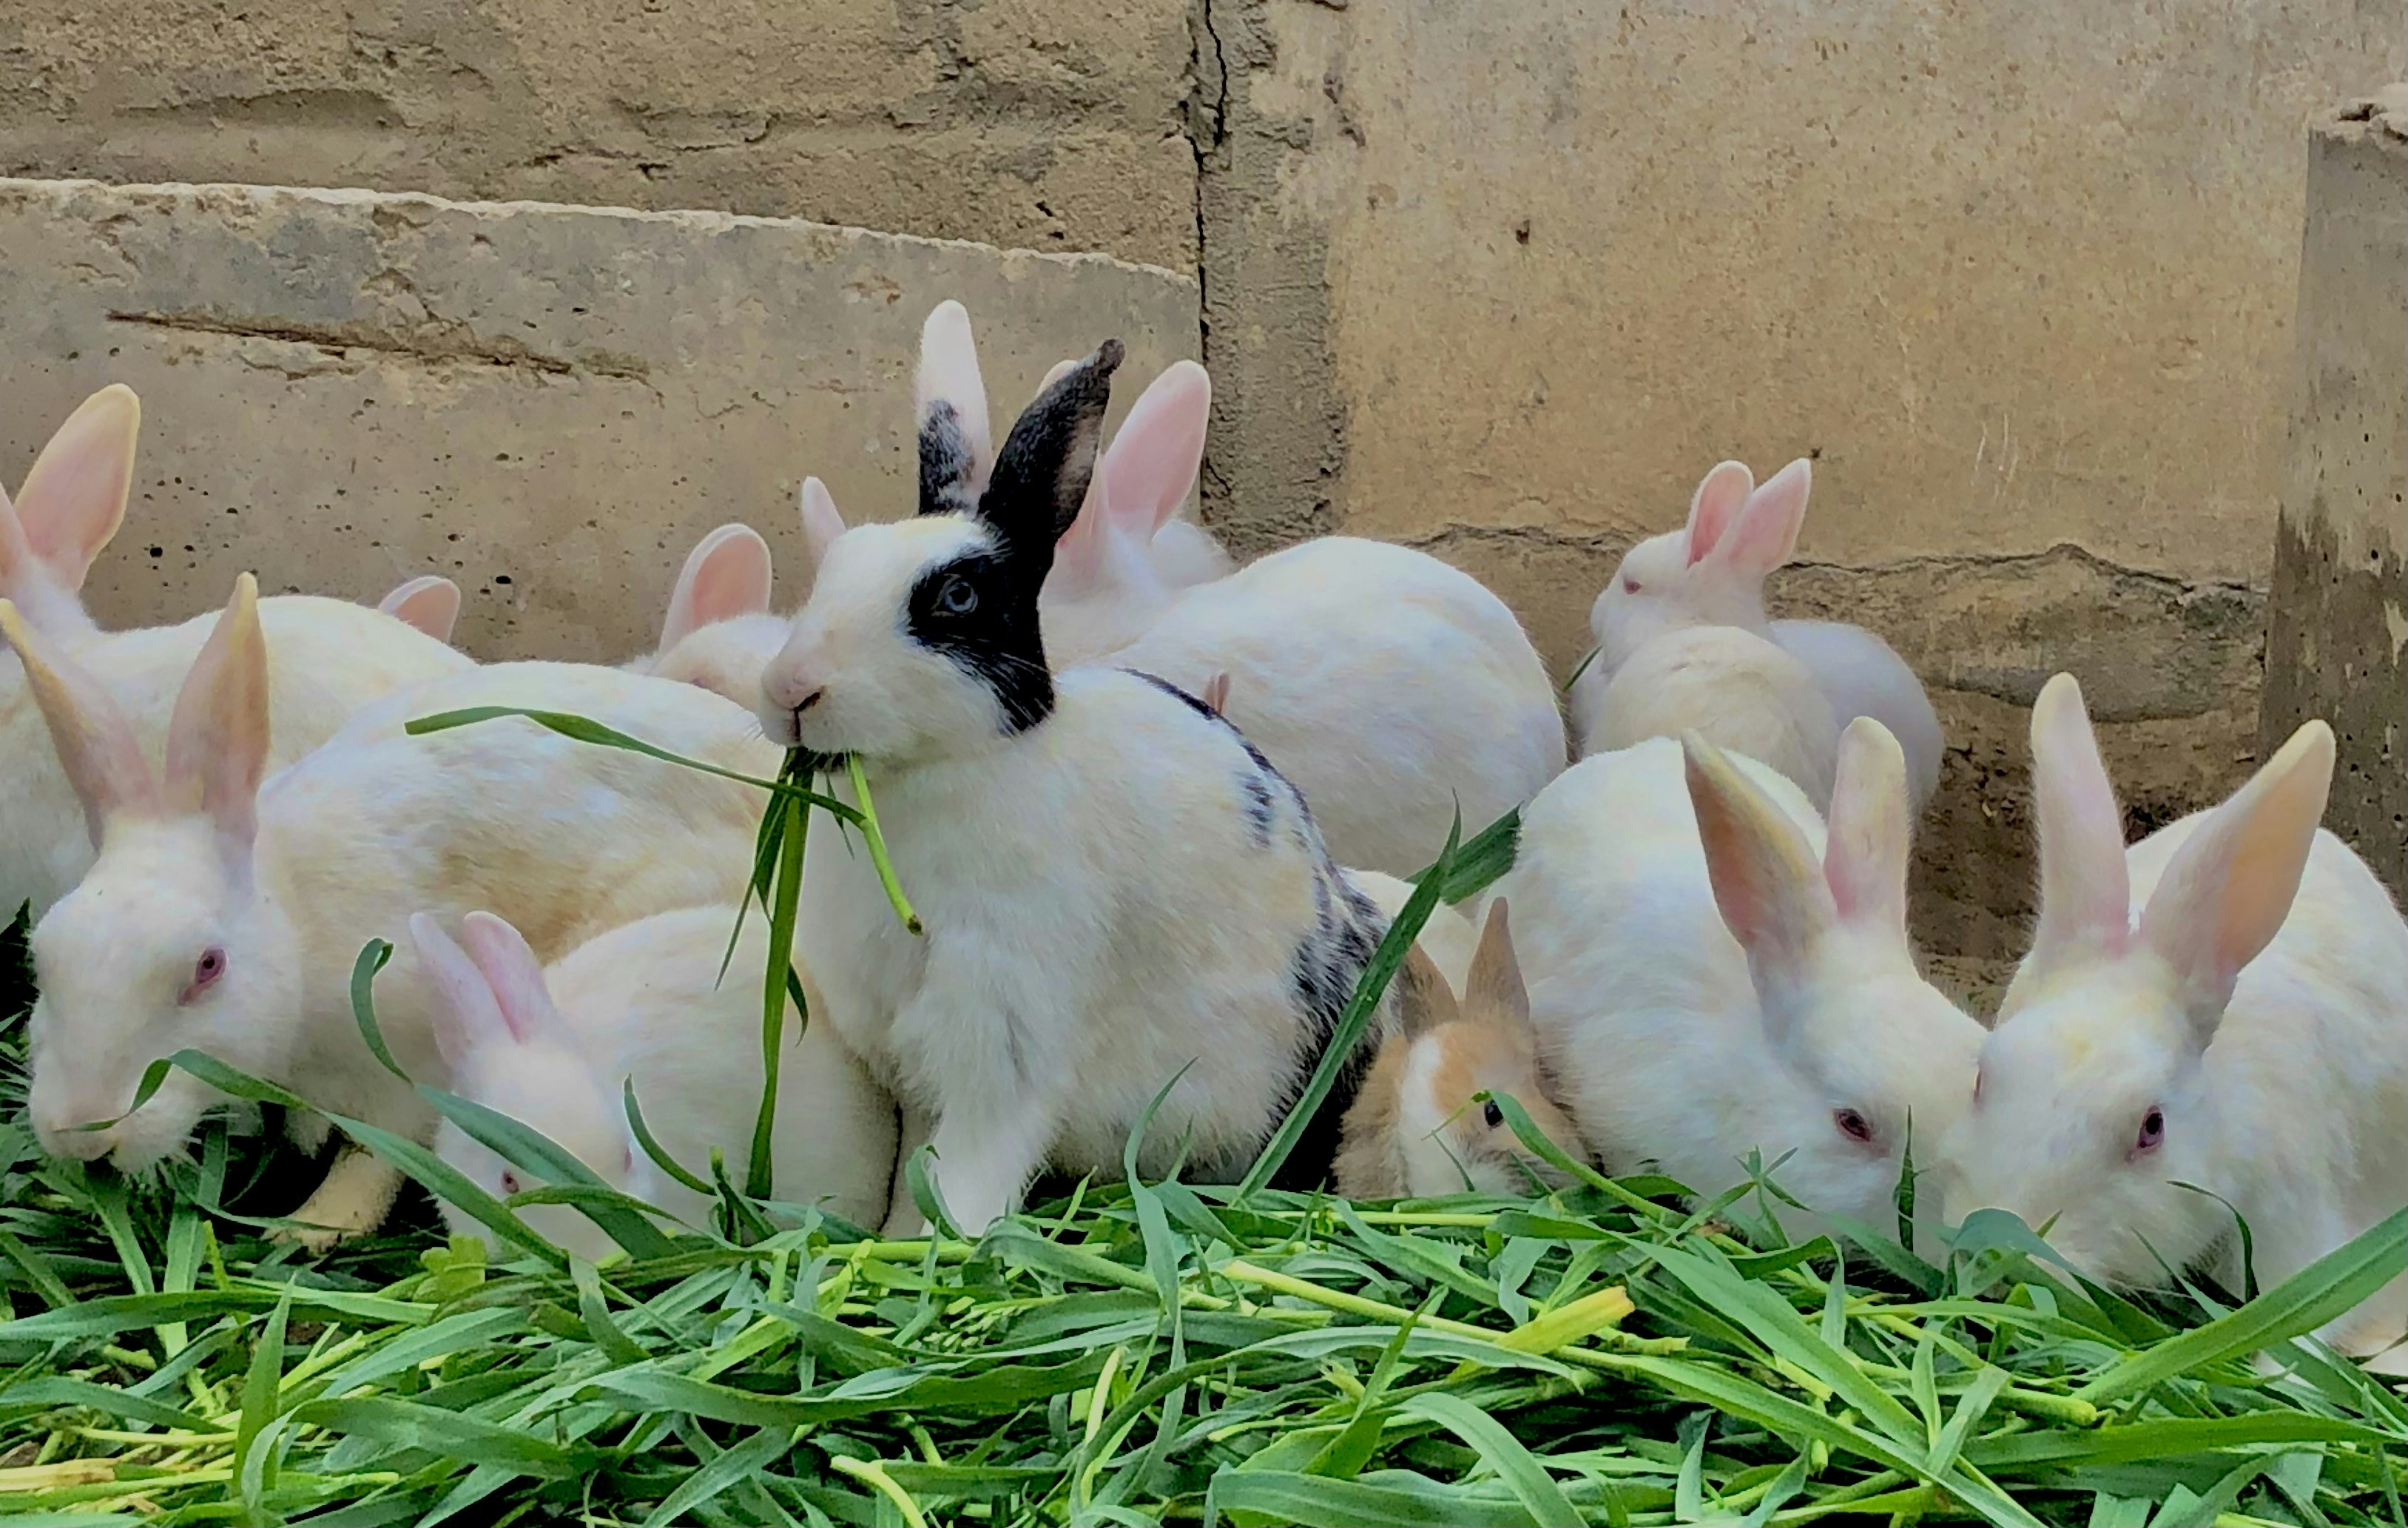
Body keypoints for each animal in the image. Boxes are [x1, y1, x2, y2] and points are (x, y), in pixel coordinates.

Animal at [9, 576, 773, 1250]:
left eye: (207, 965)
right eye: (42, 961)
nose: (83, 1131)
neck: (293, 922)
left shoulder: (400, 1065)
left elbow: (374, 1159)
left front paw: (309, 1228)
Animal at [755, 333, 1400, 1237]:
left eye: (957, 595)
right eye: (832, 569)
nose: (791, 690)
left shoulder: (1001, 1037)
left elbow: (971, 1167)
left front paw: (943, 1243)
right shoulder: (914, 1063)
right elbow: (915, 1167)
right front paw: (894, 1236)